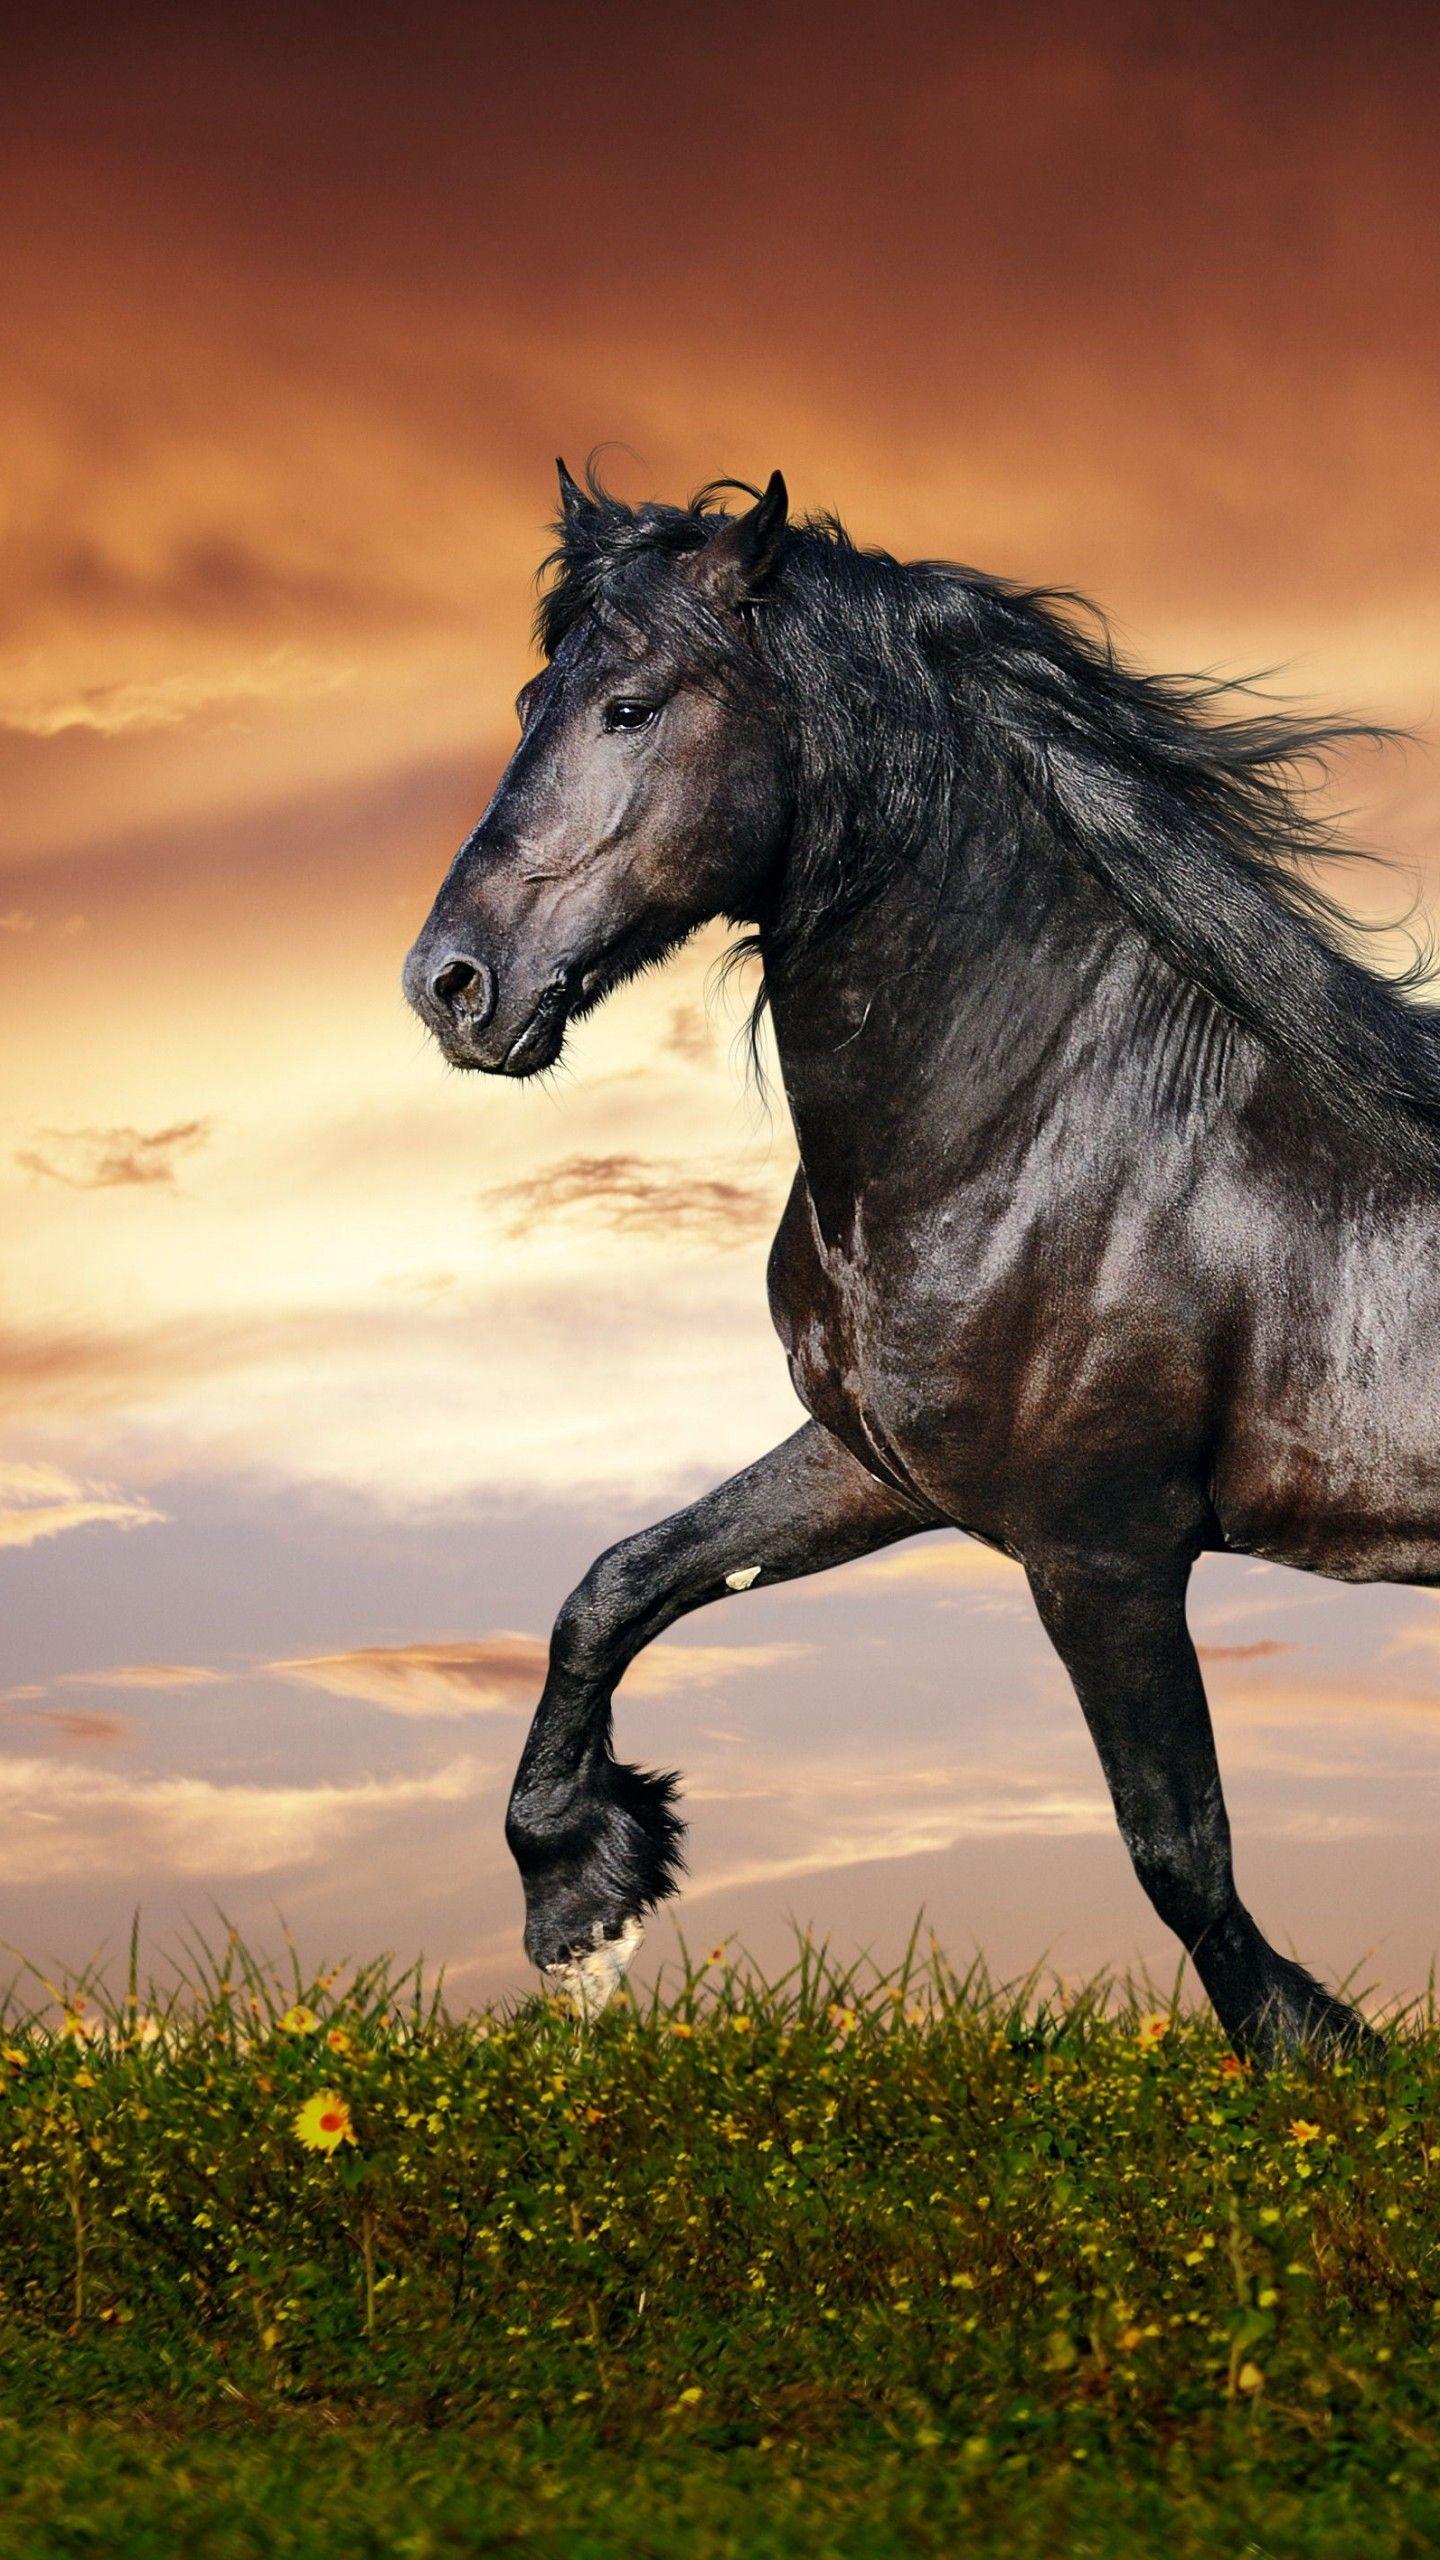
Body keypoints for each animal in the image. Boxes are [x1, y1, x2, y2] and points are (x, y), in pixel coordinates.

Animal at [404, 460, 1440, 2056]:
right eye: (532, 700)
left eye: (630, 706)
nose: (452, 984)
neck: (1049, 1128)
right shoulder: (877, 1466)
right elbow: (616, 1585)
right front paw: (582, 1901)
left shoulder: (1103, 1549)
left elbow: (1177, 1849)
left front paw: (1319, 2053)